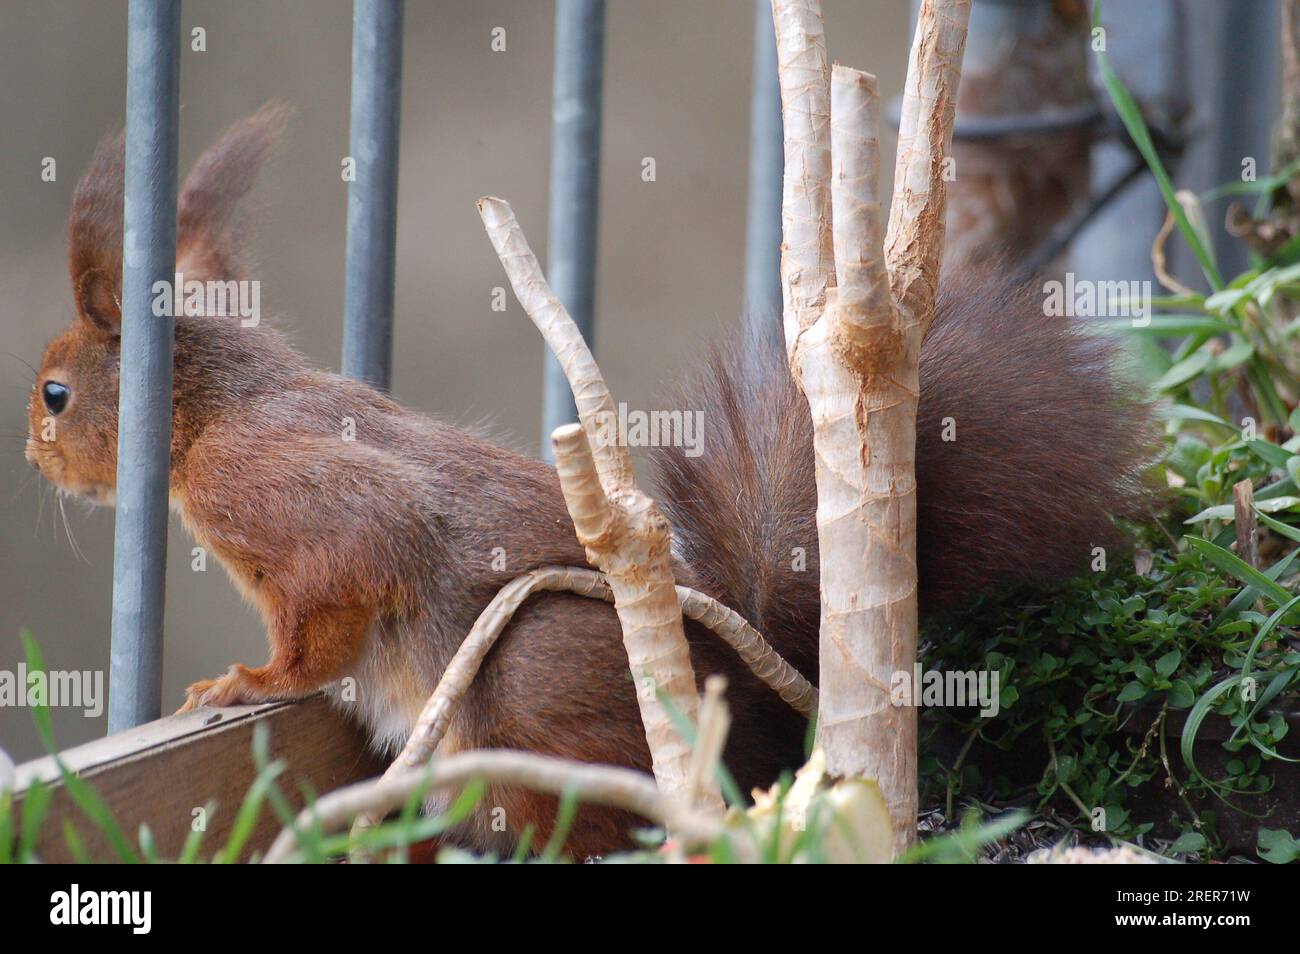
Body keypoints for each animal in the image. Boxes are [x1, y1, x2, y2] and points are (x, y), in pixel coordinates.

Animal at [26, 107, 1151, 856]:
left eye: (53, 394)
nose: (34, 460)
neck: (215, 411)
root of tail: (749, 690)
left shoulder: (267, 487)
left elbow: (342, 591)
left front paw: (248, 683)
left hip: (531, 680)